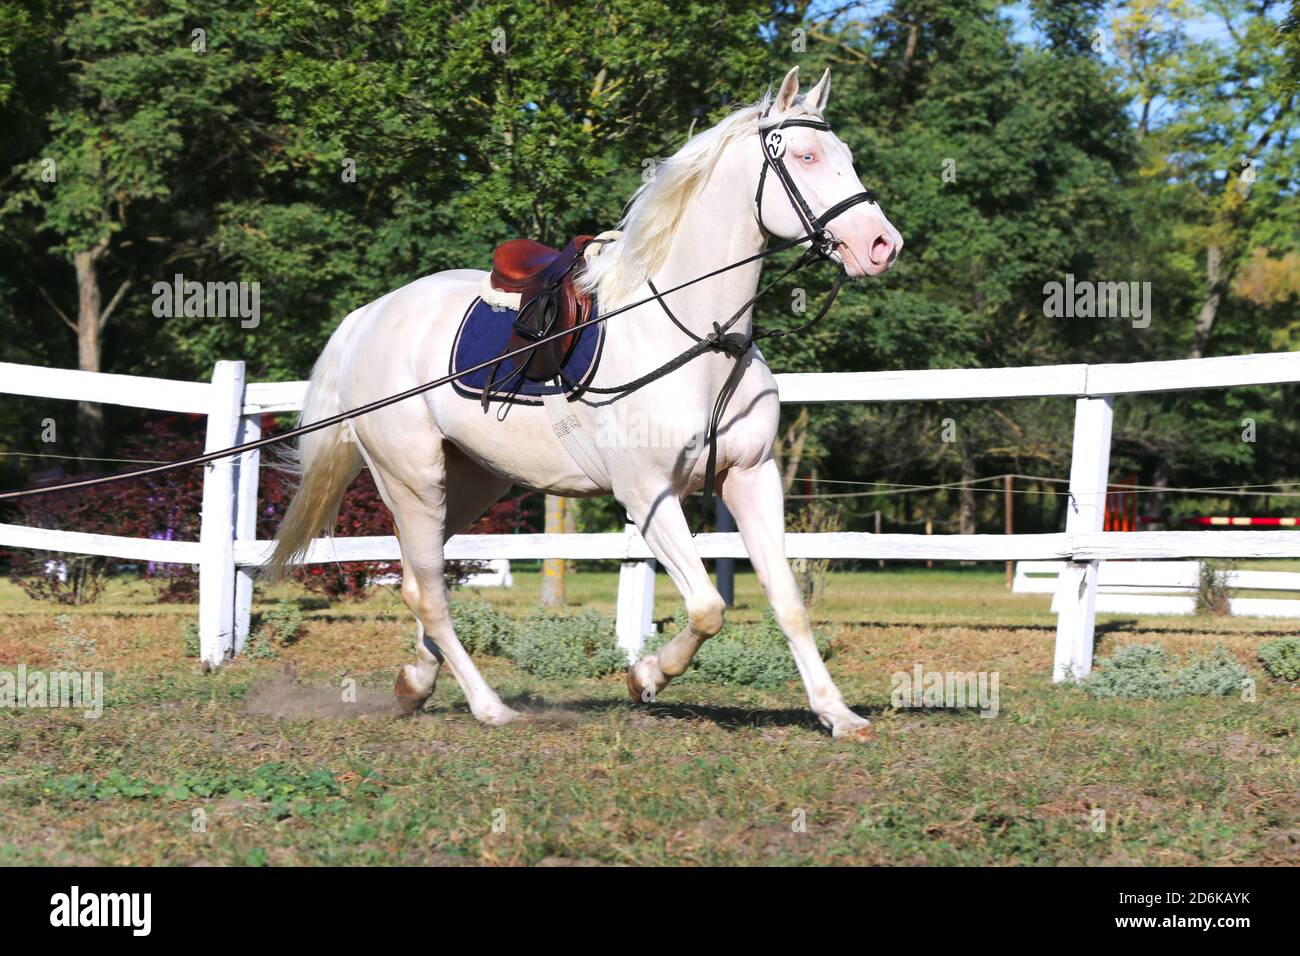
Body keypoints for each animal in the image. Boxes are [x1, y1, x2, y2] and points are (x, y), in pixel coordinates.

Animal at [266, 66, 903, 739]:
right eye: (806, 157)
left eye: (847, 156)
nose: (882, 245)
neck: (699, 336)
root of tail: (369, 316)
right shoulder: (648, 496)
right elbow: (708, 607)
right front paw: (645, 676)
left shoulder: (752, 477)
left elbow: (787, 602)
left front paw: (837, 713)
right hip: (411, 479)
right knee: (429, 592)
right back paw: (489, 706)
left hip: (467, 484)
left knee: (420, 577)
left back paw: (416, 682)